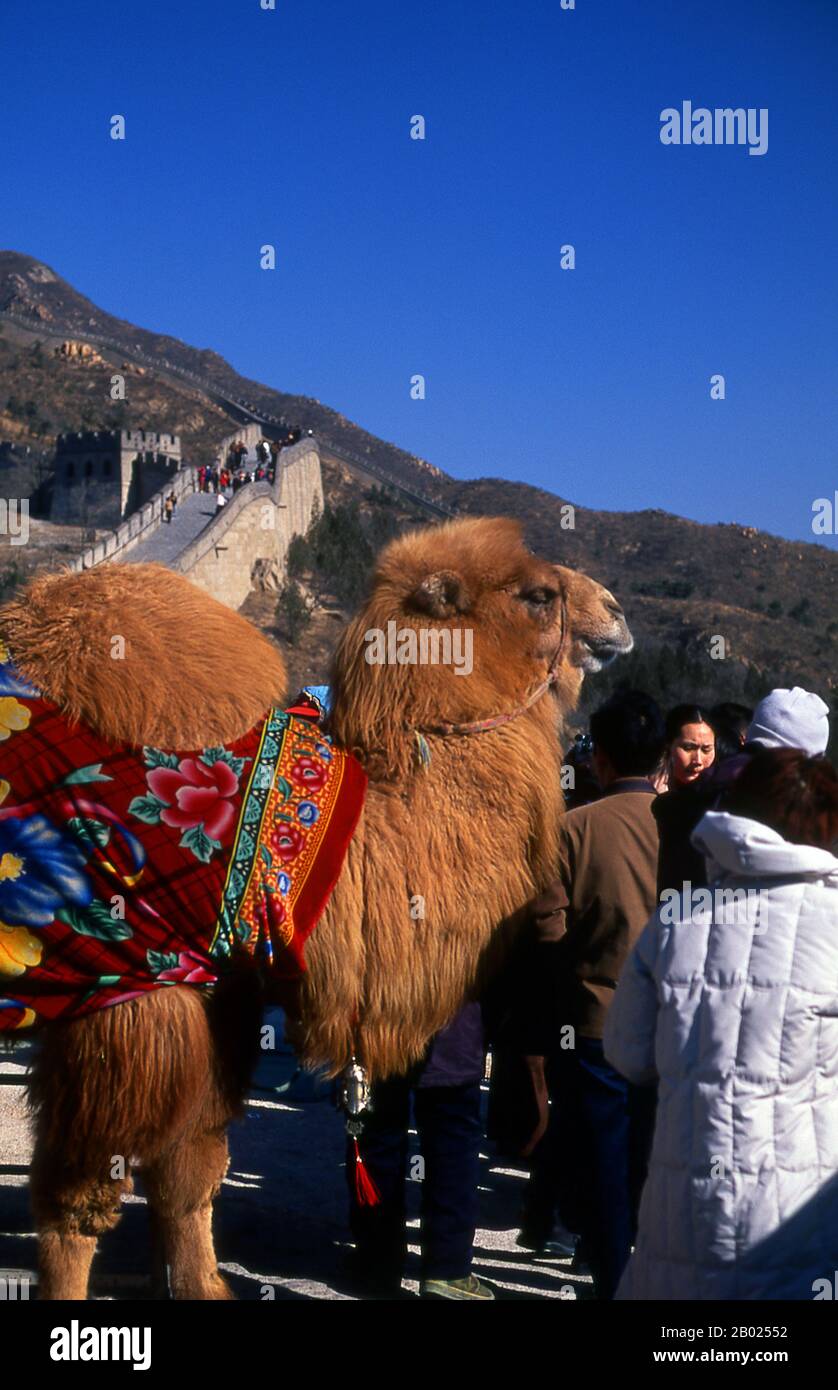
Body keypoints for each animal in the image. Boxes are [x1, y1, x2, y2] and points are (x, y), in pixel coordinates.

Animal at [0, 515, 632, 1299]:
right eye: (539, 593)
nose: (616, 612)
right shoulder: (129, 997)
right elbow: (80, 1194)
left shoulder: (219, 989)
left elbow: (191, 1169)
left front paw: (204, 1286)